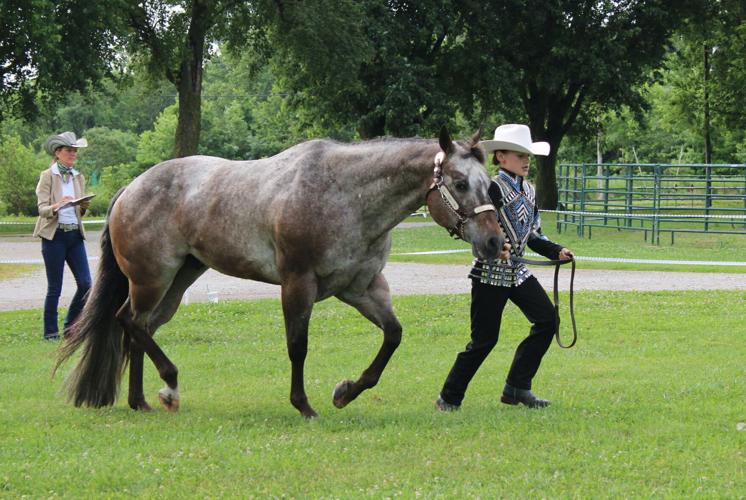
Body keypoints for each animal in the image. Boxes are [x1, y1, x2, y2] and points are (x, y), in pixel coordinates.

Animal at [56, 127, 505, 418]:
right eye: (460, 183)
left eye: (491, 185)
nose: (493, 243)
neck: (344, 195)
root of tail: (130, 189)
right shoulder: (297, 285)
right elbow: (297, 346)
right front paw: (304, 405)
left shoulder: (362, 288)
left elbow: (393, 336)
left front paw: (346, 392)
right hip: (152, 279)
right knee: (130, 322)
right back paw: (169, 385)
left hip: (176, 282)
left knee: (139, 328)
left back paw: (143, 401)